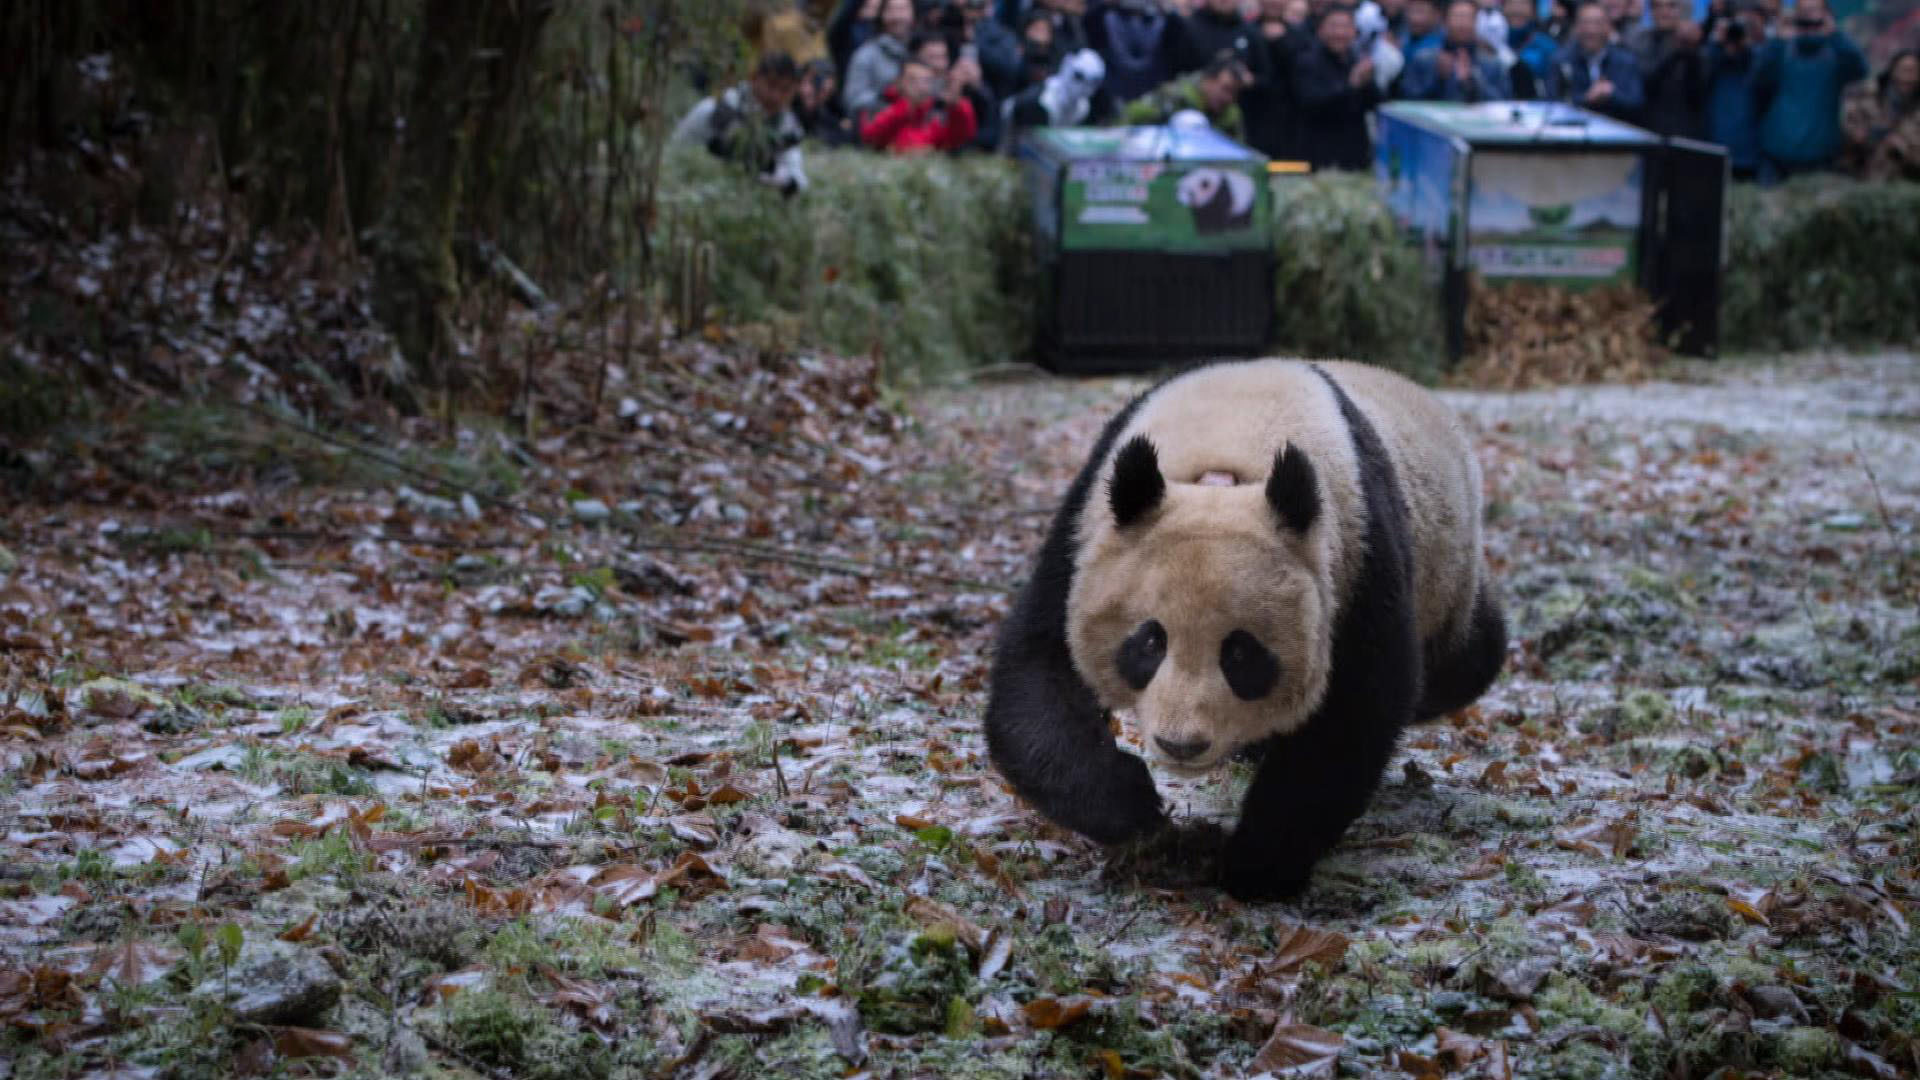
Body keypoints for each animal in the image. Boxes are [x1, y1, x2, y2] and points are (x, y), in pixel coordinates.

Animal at [984, 359, 1506, 901]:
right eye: (1150, 641)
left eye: (1240, 654)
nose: (1181, 746)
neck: (1228, 464)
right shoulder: (1084, 532)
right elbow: (1039, 673)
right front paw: (1136, 810)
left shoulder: (1357, 554)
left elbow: (1351, 714)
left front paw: (1252, 865)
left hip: (1448, 572)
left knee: (1465, 661)